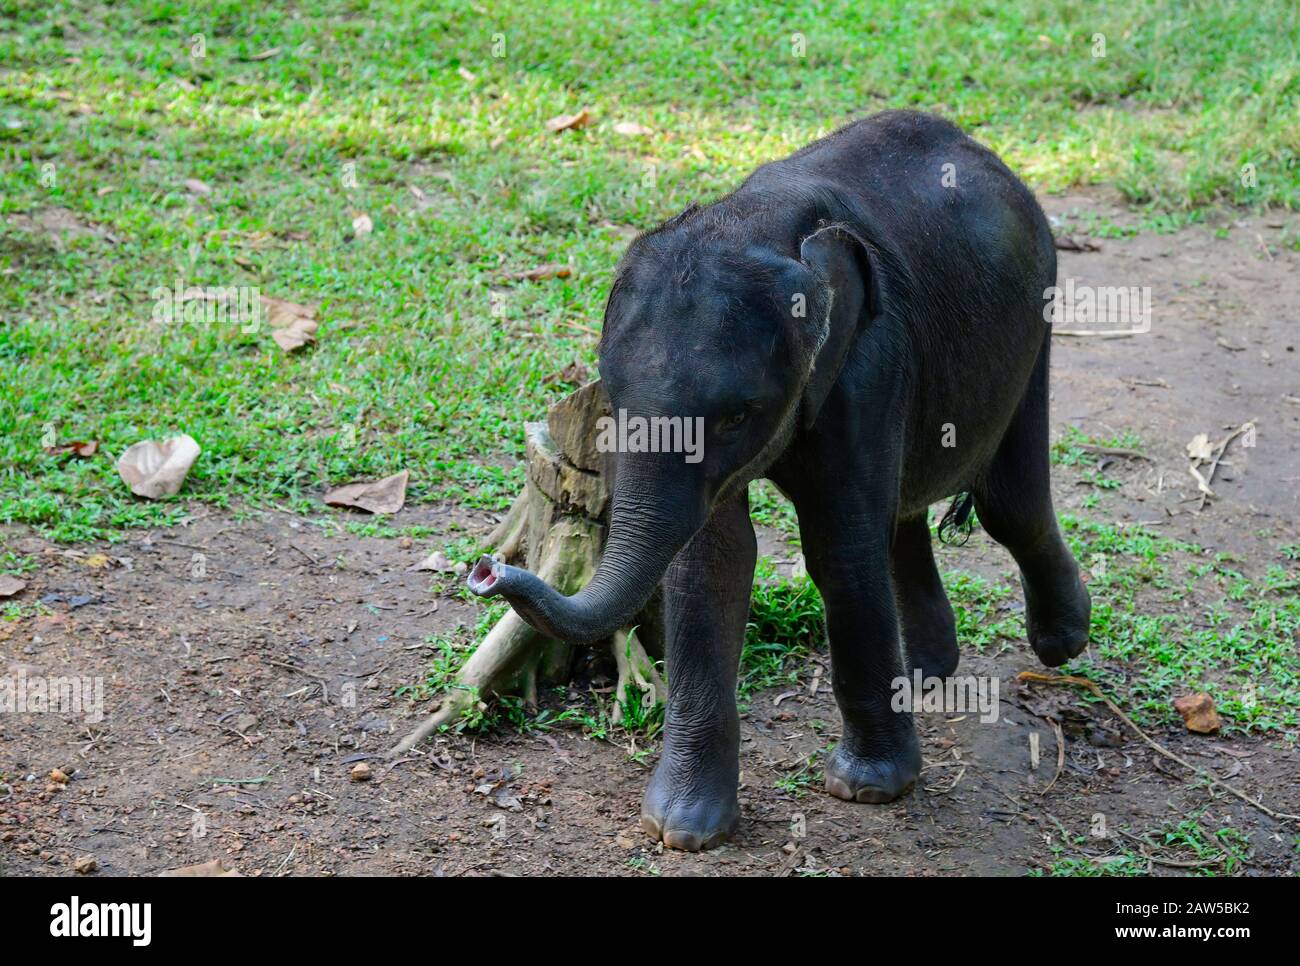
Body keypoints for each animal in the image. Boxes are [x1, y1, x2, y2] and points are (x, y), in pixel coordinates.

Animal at [469, 110, 1091, 851]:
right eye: (612, 400)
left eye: (738, 414)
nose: (484, 572)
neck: (753, 221)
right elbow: (714, 560)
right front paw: (682, 828)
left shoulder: (870, 362)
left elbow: (837, 546)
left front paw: (868, 788)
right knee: (905, 514)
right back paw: (924, 674)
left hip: (1038, 315)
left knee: (1007, 504)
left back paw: (1060, 642)